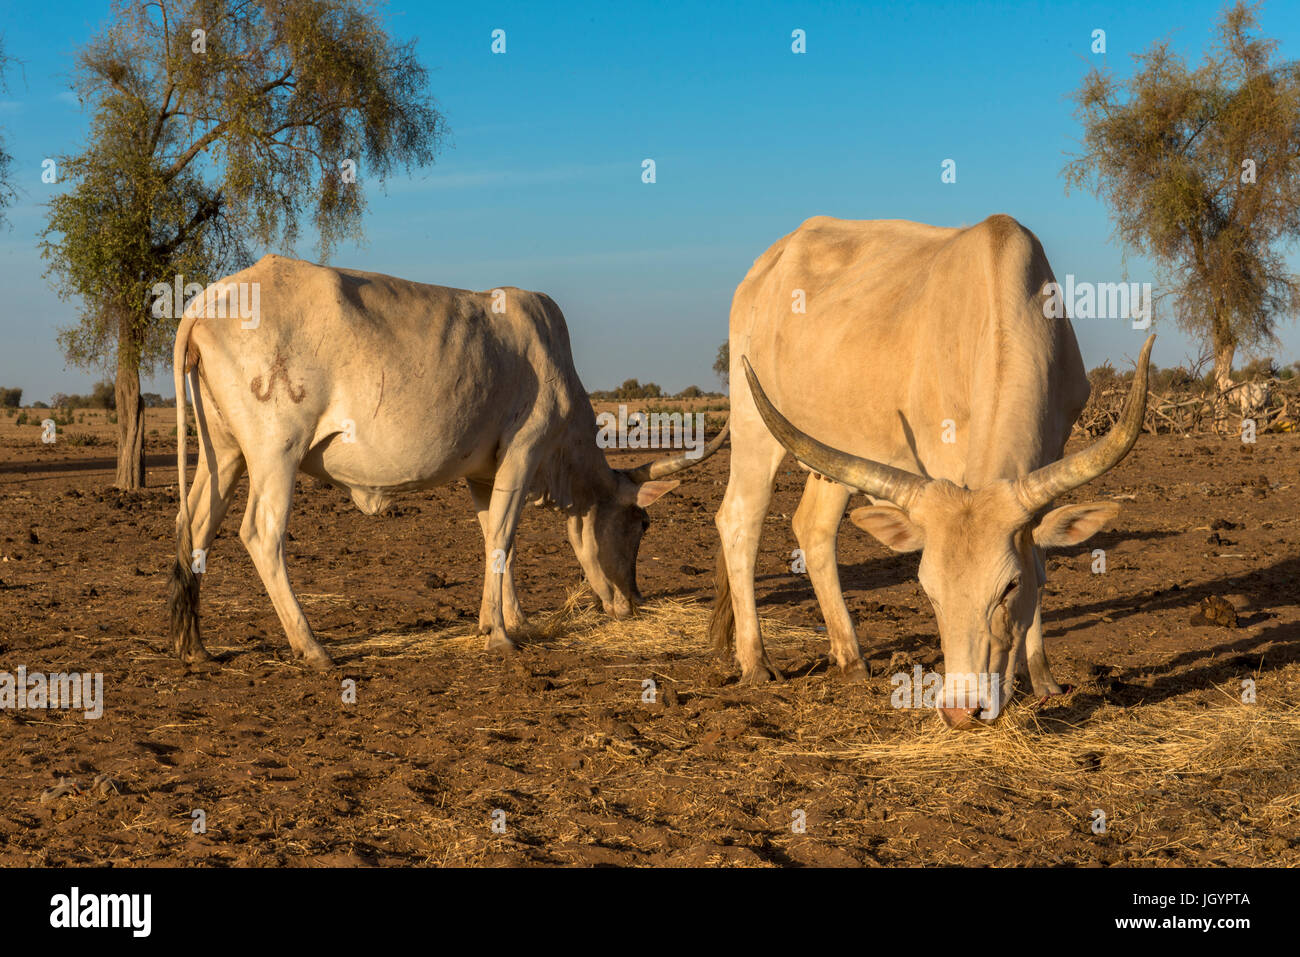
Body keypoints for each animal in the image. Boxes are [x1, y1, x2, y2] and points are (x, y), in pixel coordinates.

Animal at [168, 254, 726, 668]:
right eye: (639, 525)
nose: (631, 603)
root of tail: (207, 301)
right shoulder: (524, 451)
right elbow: (502, 535)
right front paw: (499, 635)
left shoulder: (484, 473)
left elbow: (497, 540)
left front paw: (510, 620)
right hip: (276, 453)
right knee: (260, 535)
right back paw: (312, 647)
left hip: (225, 453)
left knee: (195, 524)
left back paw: (194, 646)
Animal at [708, 214, 1152, 726]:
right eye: (929, 590)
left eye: (1008, 587)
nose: (962, 709)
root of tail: (770, 261)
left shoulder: (1055, 449)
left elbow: (1039, 559)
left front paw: (1042, 676)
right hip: (751, 426)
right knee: (739, 520)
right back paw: (756, 661)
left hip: (831, 449)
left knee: (814, 528)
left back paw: (851, 658)